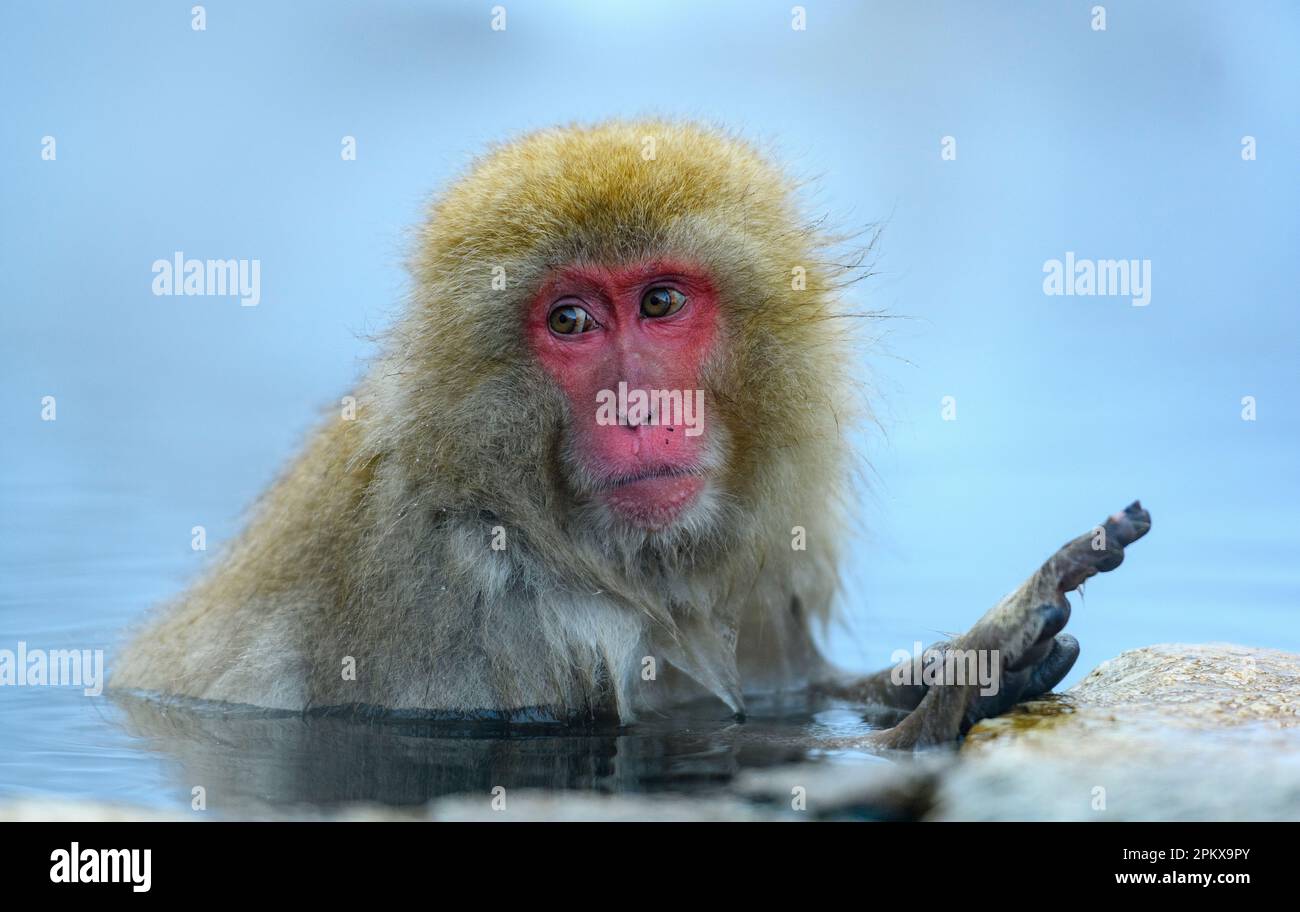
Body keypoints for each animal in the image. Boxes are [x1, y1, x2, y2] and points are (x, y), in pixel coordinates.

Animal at [113, 120, 1149, 749]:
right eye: (571, 321)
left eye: (659, 303)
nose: (637, 409)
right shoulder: (450, 595)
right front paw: (960, 689)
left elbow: (786, 692)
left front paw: (955, 660)